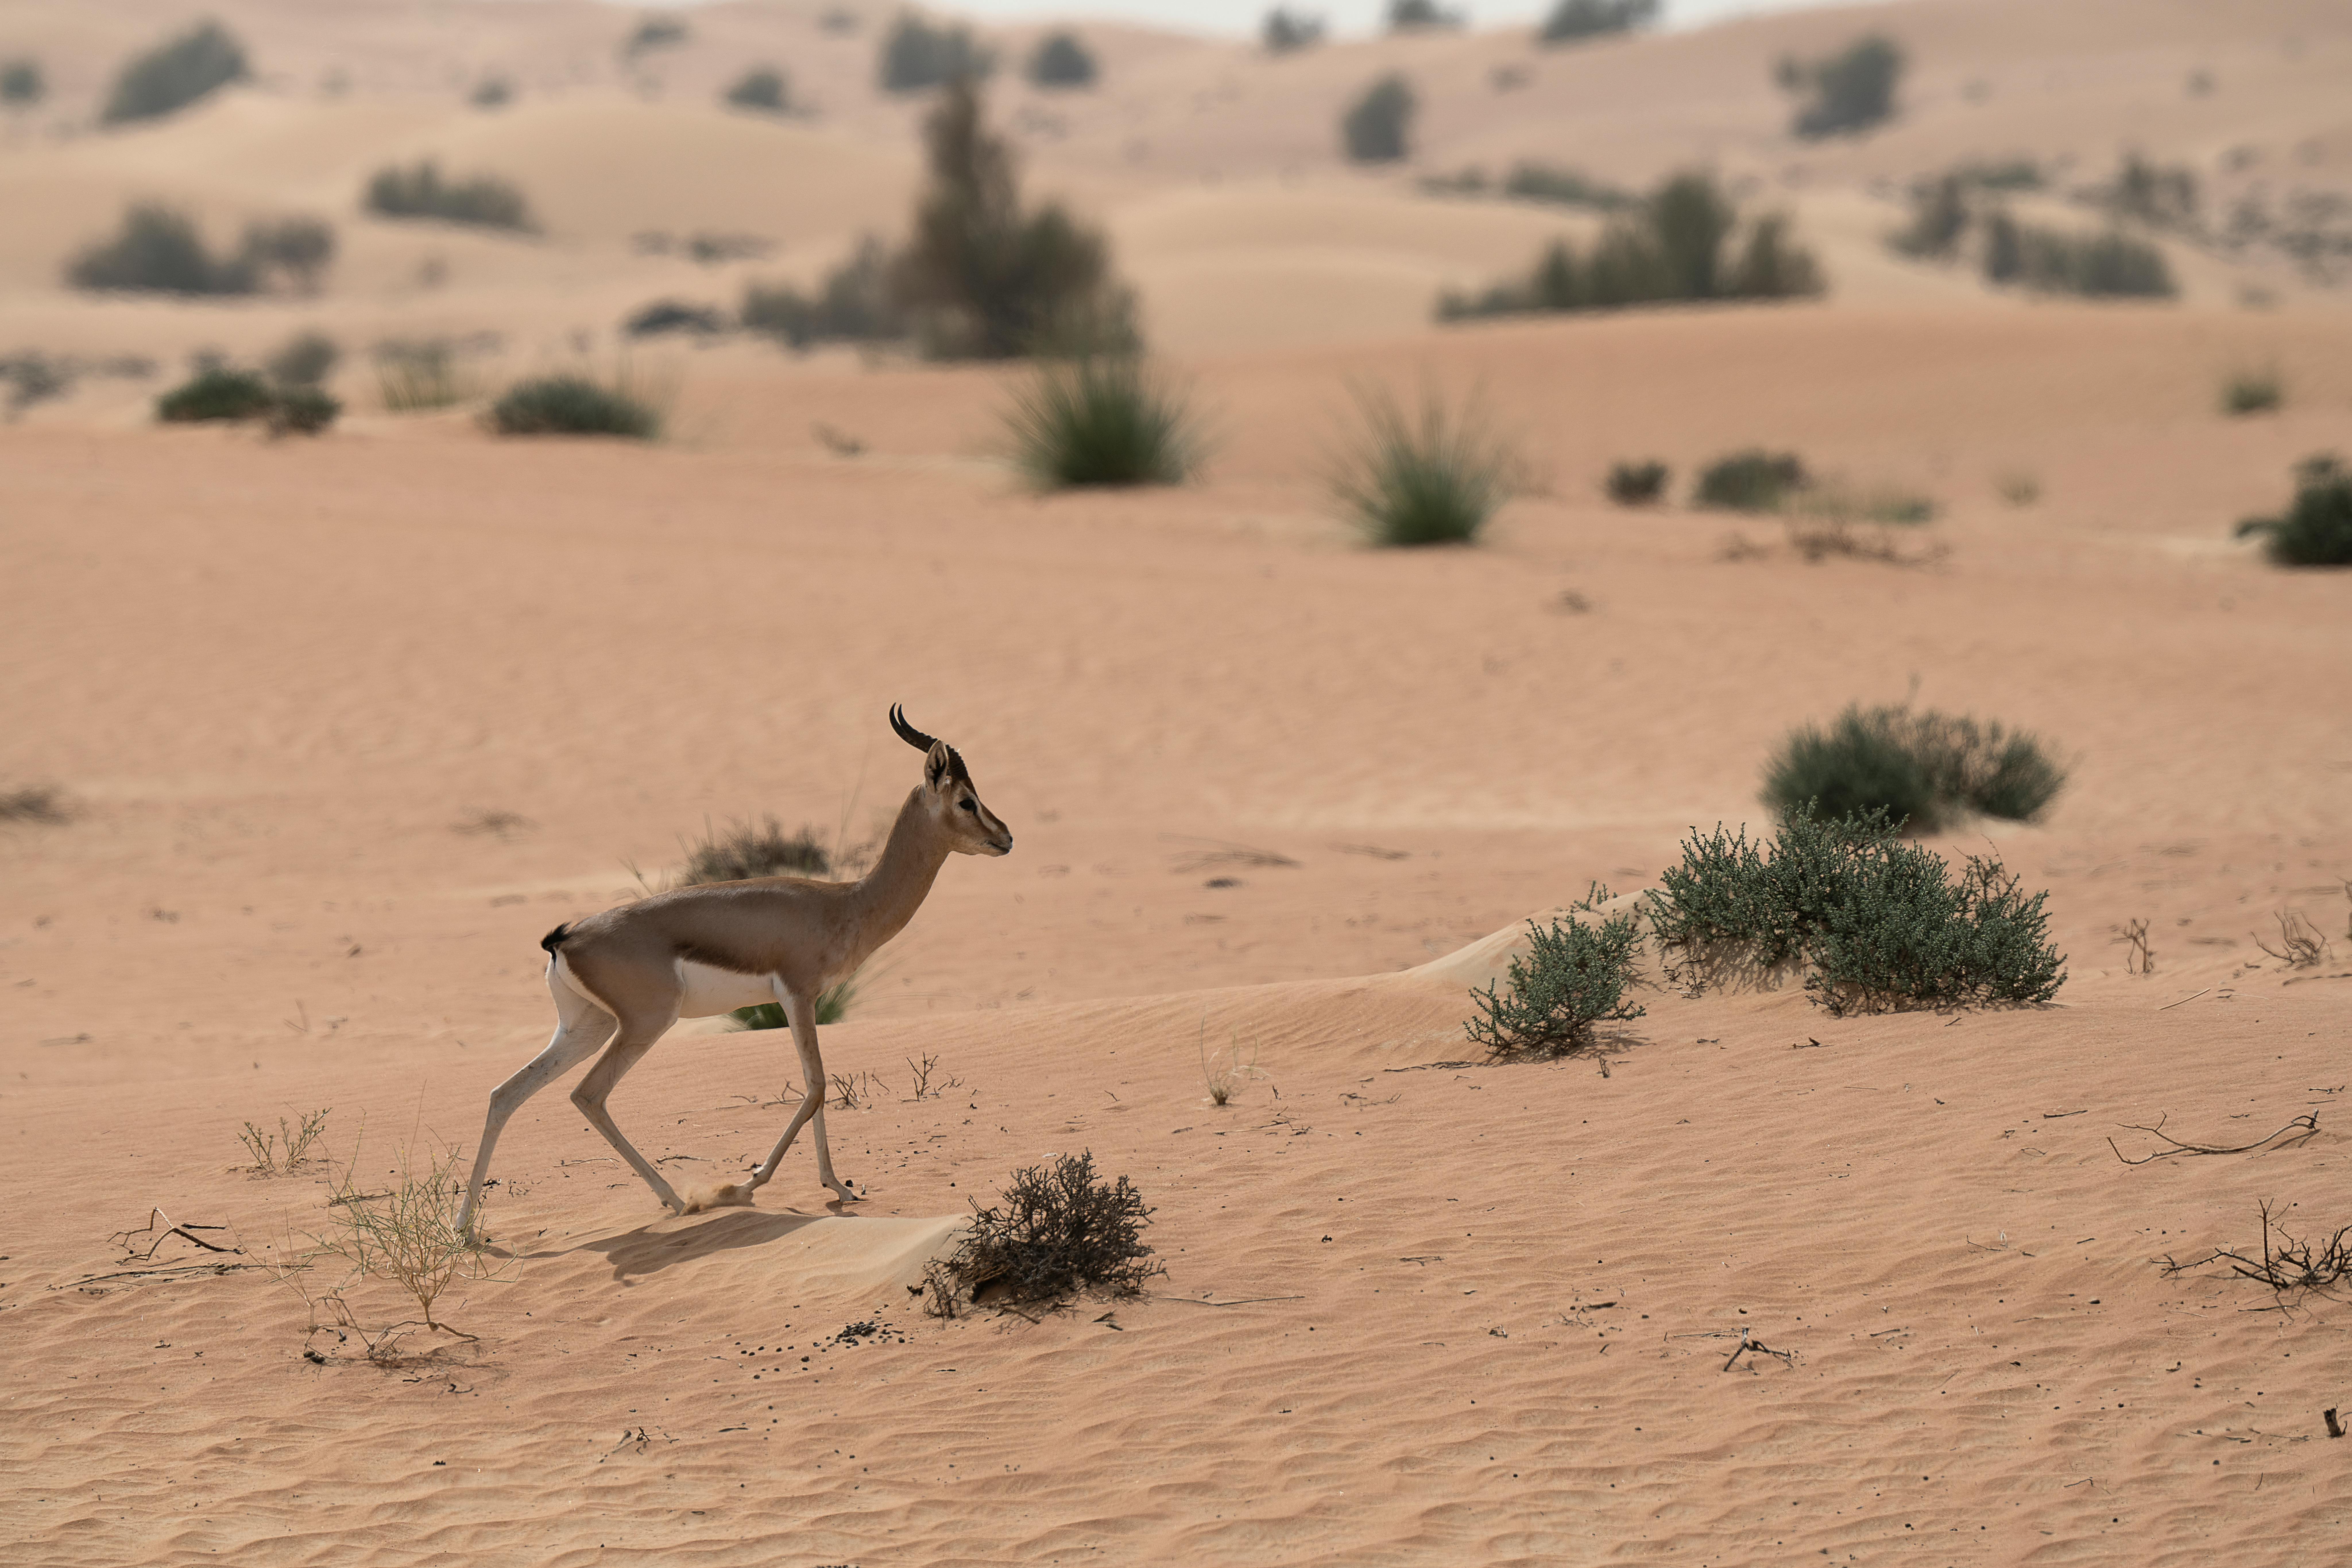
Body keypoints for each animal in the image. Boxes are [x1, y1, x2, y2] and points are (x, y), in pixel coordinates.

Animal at [455, 706, 1013, 1240]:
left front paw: (838, 1188)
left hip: (585, 1028)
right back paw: (679, 1199)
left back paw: (466, 1228)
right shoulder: (798, 996)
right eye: (967, 801)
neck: (845, 902)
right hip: (644, 1025)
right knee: (588, 1095)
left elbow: (817, 1088)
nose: (1006, 838)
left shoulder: (804, 1002)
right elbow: (816, 1086)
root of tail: (564, 938)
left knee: (506, 1094)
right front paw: (748, 1185)